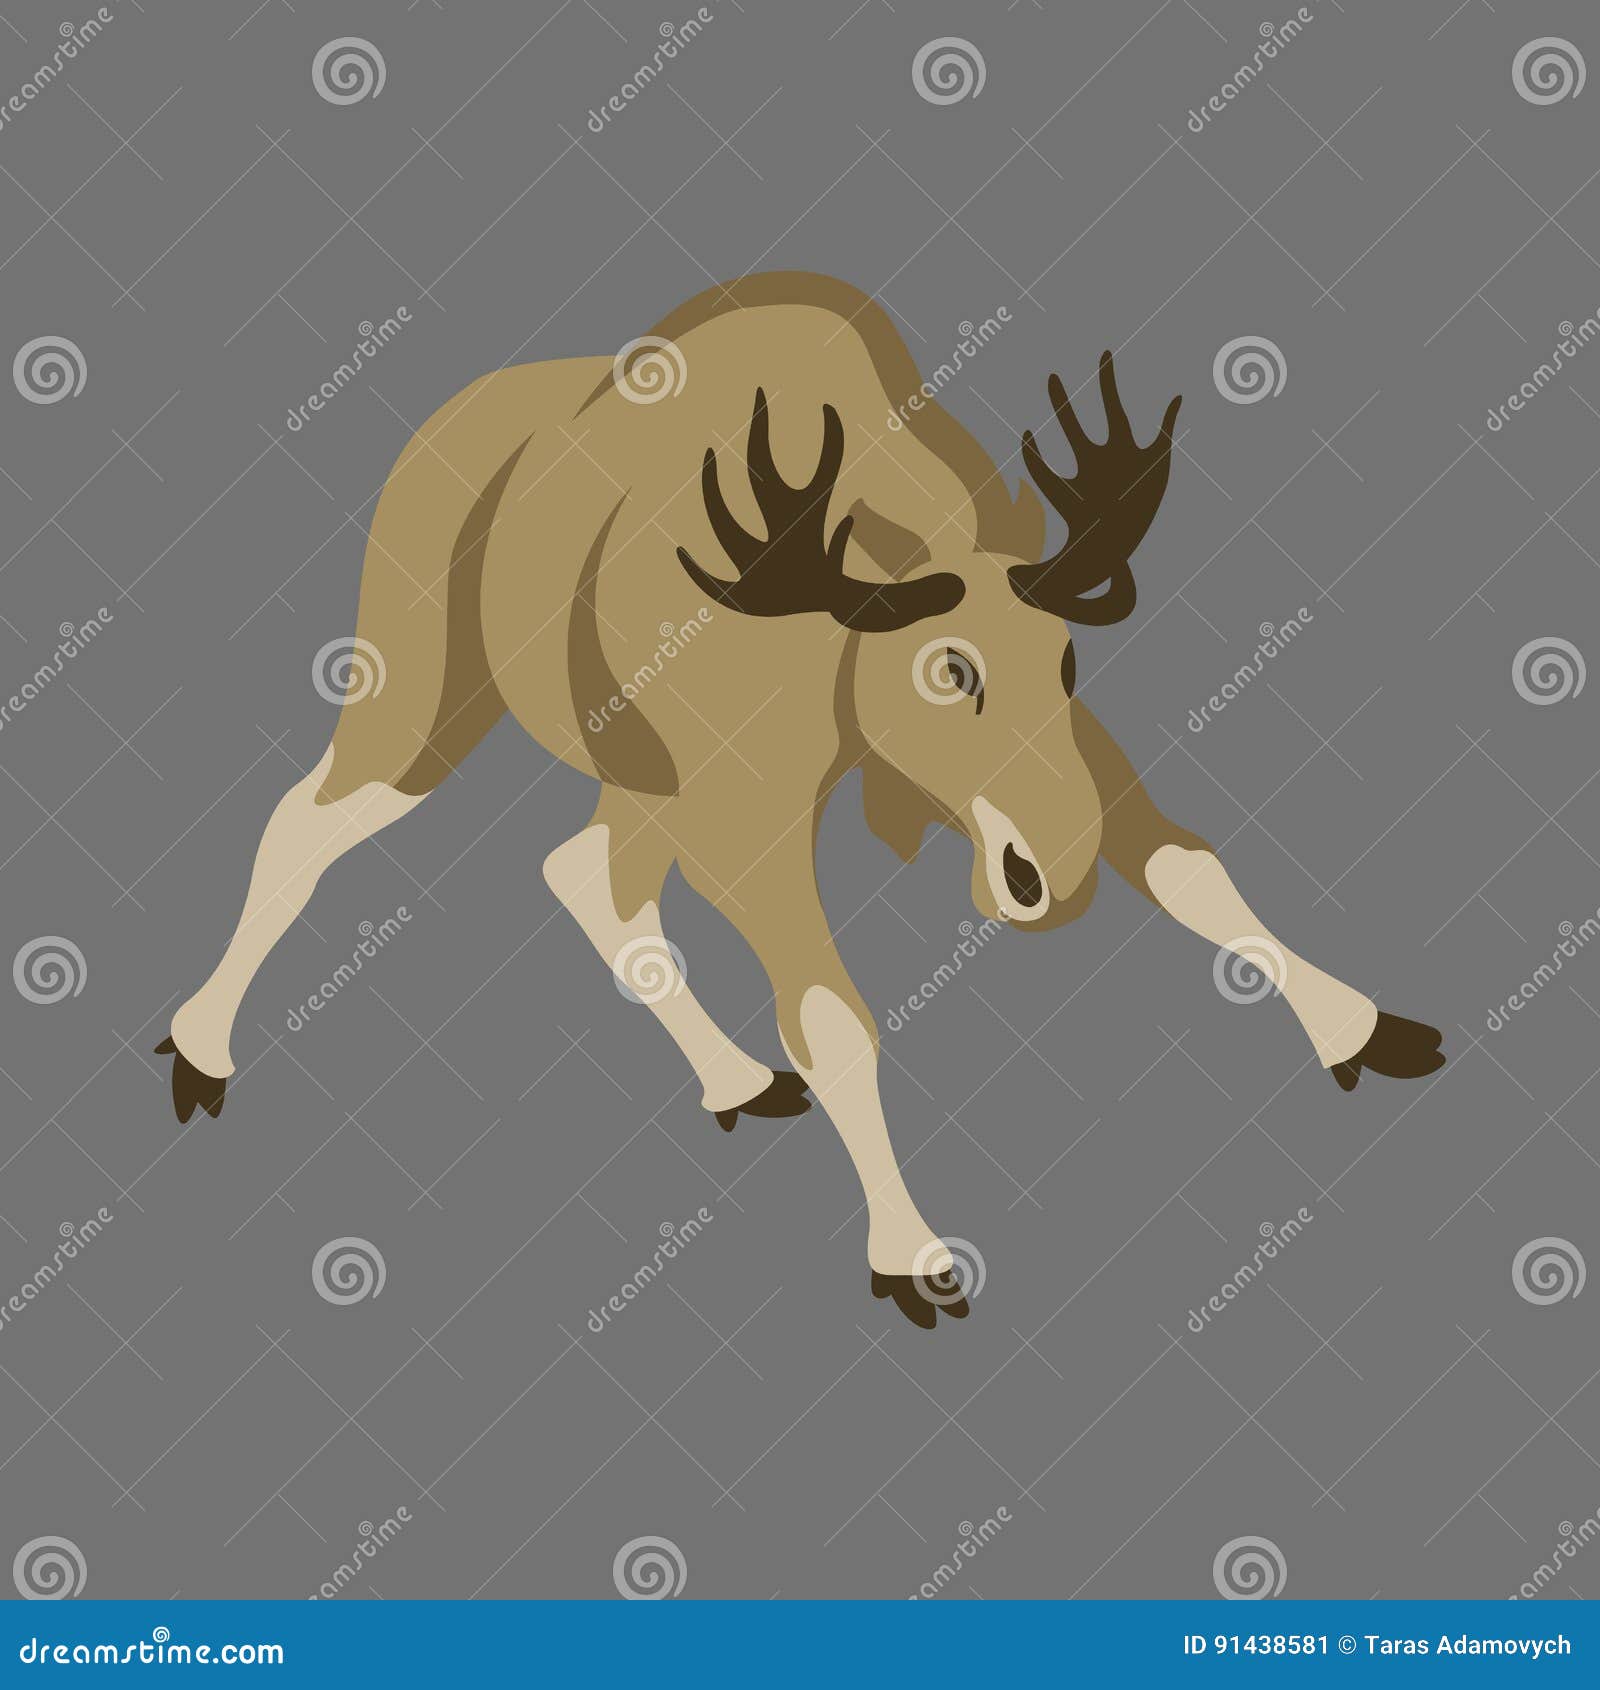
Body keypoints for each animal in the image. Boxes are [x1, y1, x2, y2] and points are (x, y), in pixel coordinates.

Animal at [158, 272, 1444, 1329]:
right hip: (421, 693)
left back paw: (728, 1076)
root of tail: (447, 423)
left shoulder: (1071, 761)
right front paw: (909, 1251)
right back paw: (198, 1048)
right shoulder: (743, 819)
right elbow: (833, 1018)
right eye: (949, 669)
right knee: (307, 822)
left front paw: (1363, 1025)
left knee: (584, 874)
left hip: (634, 777)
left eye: (1067, 662)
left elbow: (1190, 865)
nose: (1053, 869)